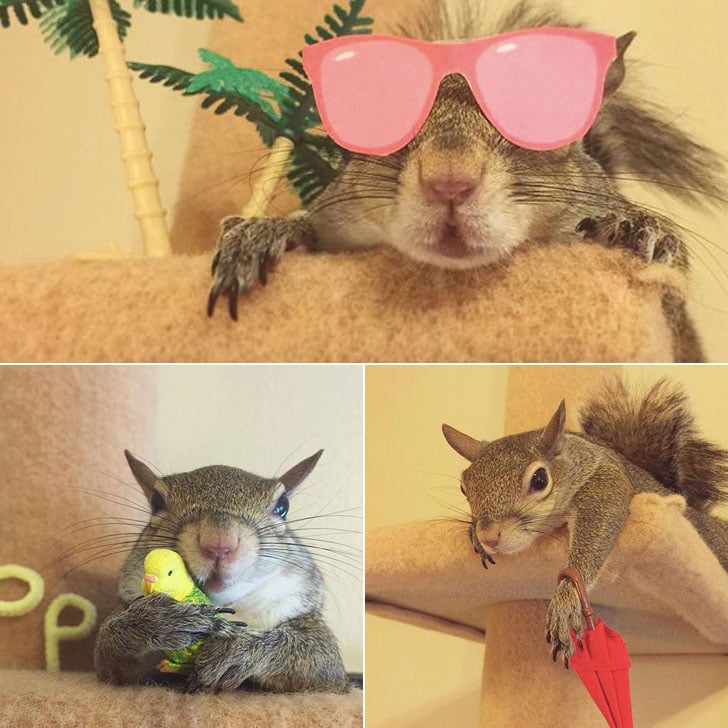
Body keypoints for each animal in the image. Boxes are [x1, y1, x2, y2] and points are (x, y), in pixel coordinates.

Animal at [93, 449, 350, 693]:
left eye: (282, 506)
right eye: (156, 501)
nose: (218, 542)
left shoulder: (309, 624)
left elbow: (319, 657)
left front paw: (240, 648)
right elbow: (109, 657)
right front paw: (153, 621)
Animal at [442, 377, 728, 664]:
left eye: (540, 480)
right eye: (464, 488)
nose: (490, 536)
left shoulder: (606, 483)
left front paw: (566, 599)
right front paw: (474, 535)